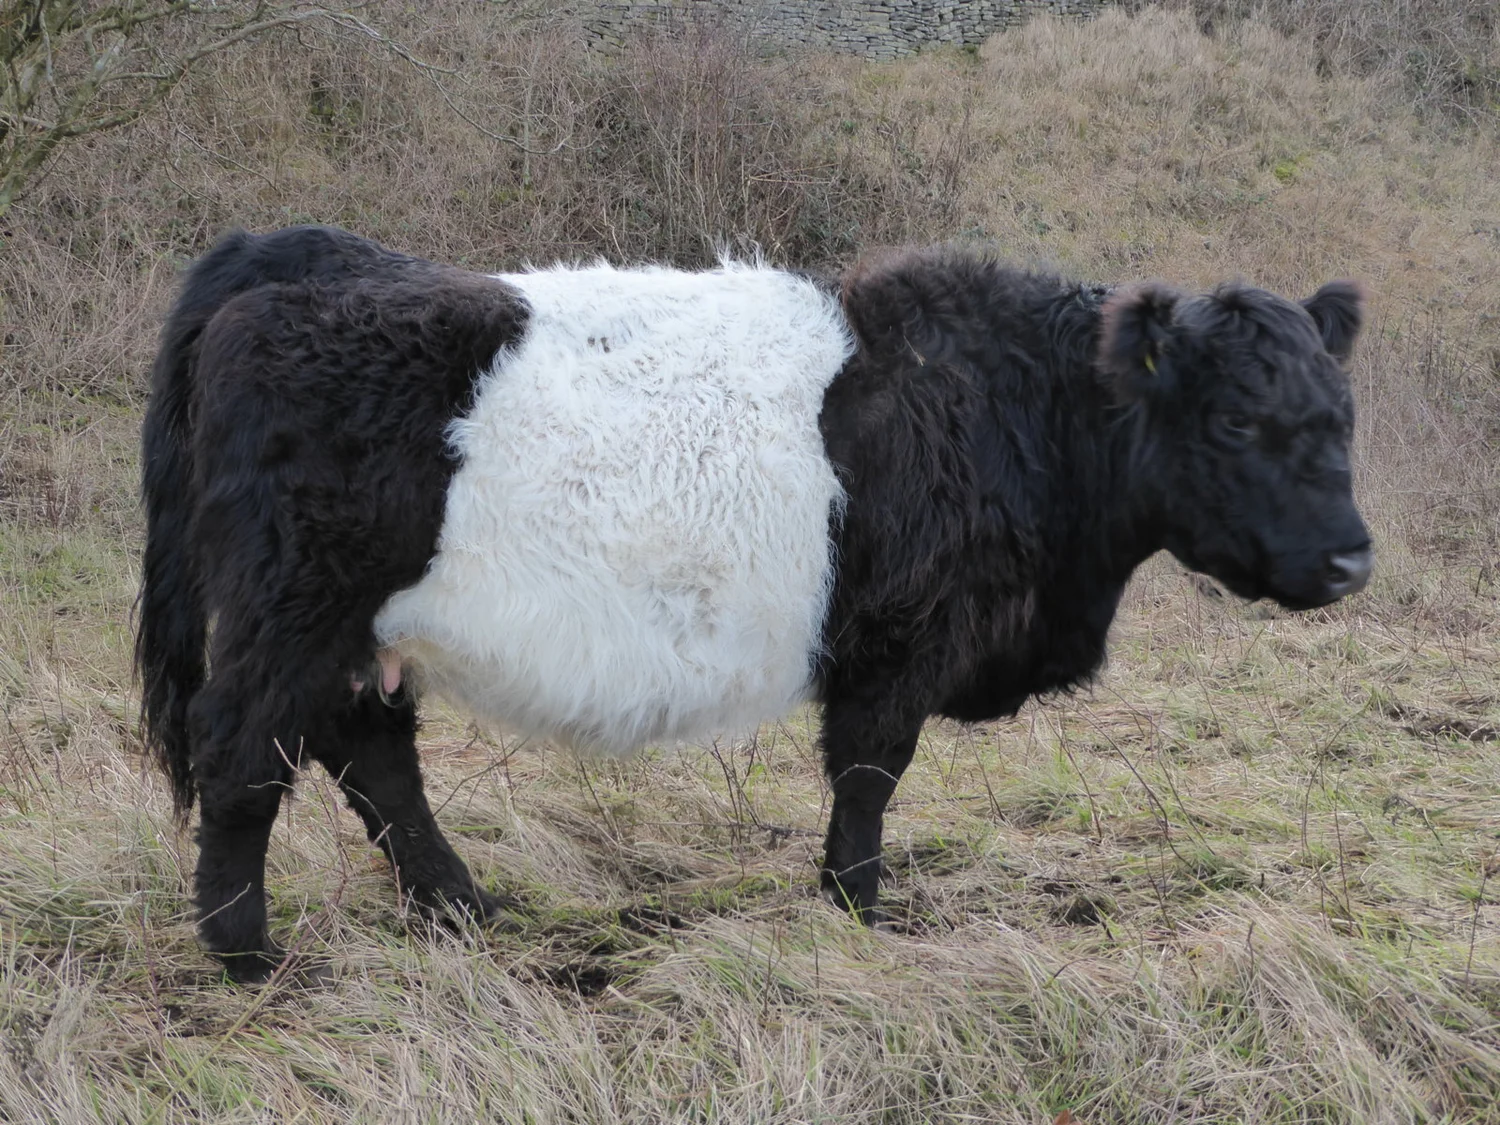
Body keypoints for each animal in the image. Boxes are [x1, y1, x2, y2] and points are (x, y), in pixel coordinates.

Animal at [136, 226, 1372, 981]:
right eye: (1235, 423)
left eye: (1340, 416)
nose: (1353, 563)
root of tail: (293, 255)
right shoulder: (898, 644)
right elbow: (870, 776)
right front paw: (861, 909)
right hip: (291, 609)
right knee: (243, 755)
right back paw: (246, 958)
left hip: (357, 632)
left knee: (372, 757)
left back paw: (466, 913)